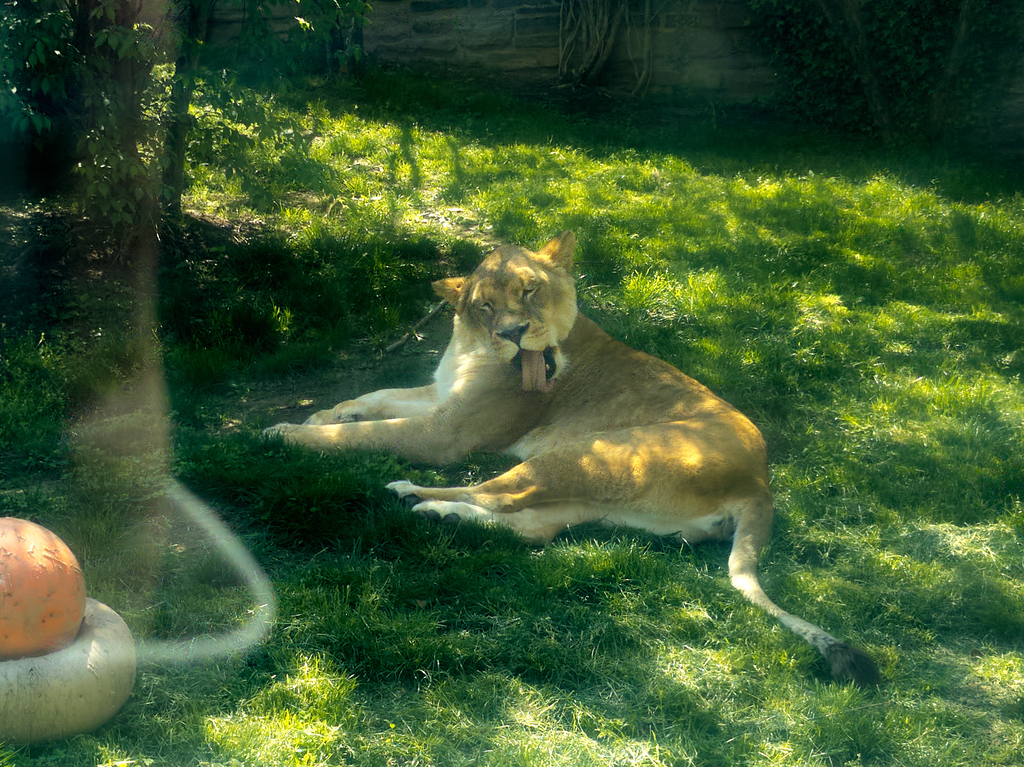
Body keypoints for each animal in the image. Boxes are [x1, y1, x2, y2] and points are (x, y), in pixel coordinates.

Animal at [265, 231, 880, 686]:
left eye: (531, 291)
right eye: (484, 305)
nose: (515, 333)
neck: (469, 351)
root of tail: (760, 481)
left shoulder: (448, 435)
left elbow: (371, 433)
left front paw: (283, 432)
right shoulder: (440, 399)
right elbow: (373, 400)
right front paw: (323, 415)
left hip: (581, 452)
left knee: (495, 493)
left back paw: (413, 495)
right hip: (599, 499)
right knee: (531, 526)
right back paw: (443, 516)